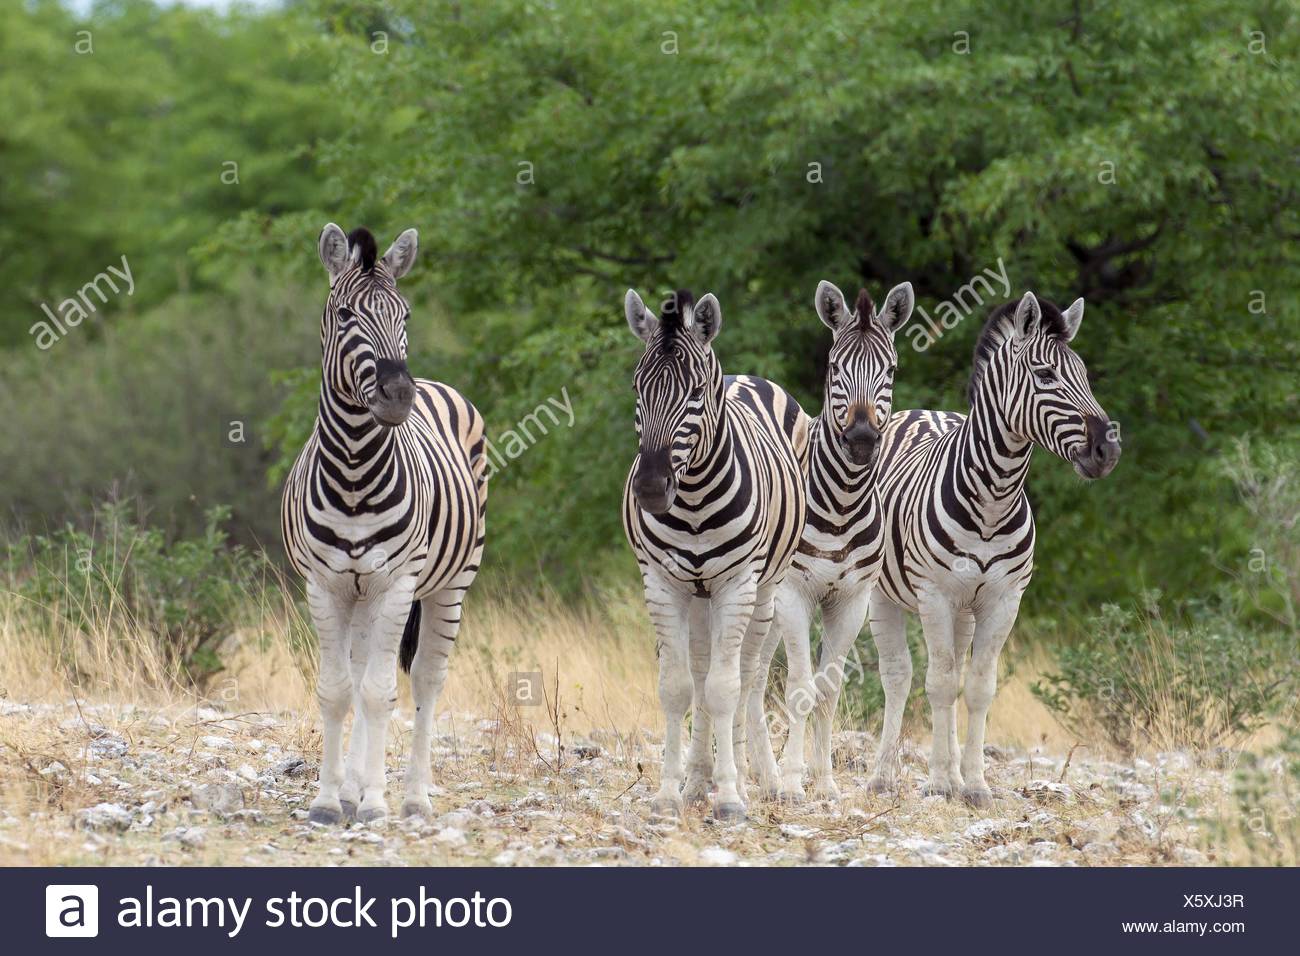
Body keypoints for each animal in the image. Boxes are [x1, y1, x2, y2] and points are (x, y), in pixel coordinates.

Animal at [282, 223, 488, 824]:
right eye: (345, 313)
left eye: (407, 314)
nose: (399, 395)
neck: (354, 471)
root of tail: (441, 384)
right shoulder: (325, 585)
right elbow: (337, 689)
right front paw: (330, 800)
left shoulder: (396, 584)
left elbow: (379, 693)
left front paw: (374, 803)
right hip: (358, 594)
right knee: (357, 672)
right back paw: (351, 787)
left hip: (451, 582)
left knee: (425, 678)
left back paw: (415, 797)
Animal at [622, 288, 808, 820]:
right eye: (638, 390)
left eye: (695, 394)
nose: (650, 489)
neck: (694, 501)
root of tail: (746, 377)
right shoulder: (661, 582)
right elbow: (679, 687)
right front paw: (670, 792)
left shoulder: (737, 583)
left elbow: (725, 690)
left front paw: (728, 797)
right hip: (698, 596)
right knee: (704, 671)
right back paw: (697, 779)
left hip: (765, 590)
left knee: (747, 677)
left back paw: (749, 777)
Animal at [745, 279, 914, 804]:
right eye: (834, 366)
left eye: (891, 369)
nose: (860, 438)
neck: (842, 500)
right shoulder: (795, 595)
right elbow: (800, 687)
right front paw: (795, 784)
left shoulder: (852, 600)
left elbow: (829, 690)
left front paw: (823, 781)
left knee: (752, 673)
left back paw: (760, 772)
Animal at [854, 291, 1120, 806]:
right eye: (1046, 375)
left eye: (1084, 375)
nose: (1107, 452)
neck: (993, 500)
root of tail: (920, 411)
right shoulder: (935, 595)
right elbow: (938, 685)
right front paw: (939, 784)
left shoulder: (1003, 600)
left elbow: (976, 688)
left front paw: (973, 785)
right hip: (884, 595)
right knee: (898, 676)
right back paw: (882, 776)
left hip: (964, 610)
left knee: (955, 671)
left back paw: (952, 775)